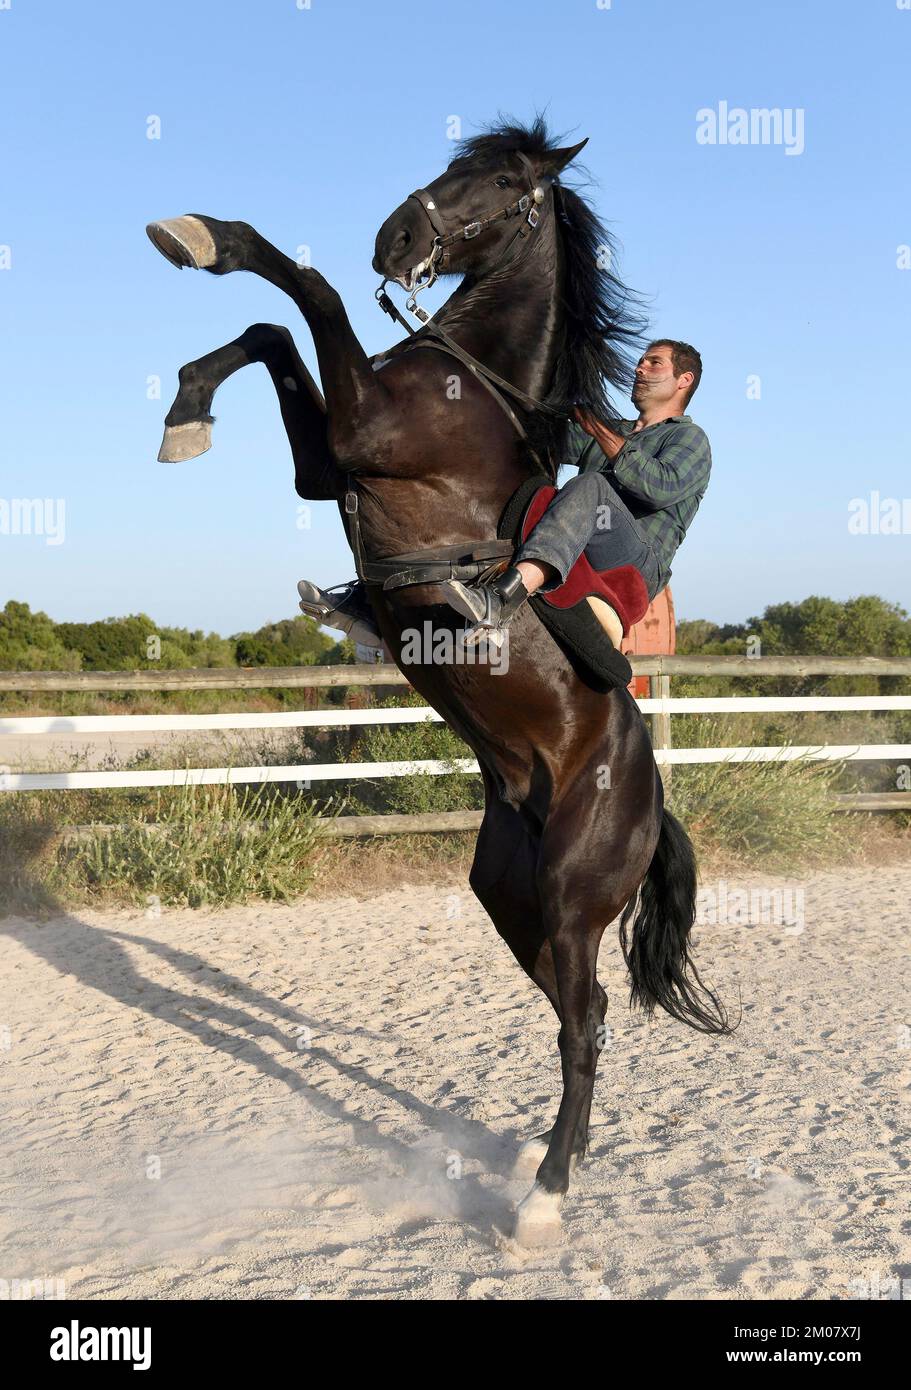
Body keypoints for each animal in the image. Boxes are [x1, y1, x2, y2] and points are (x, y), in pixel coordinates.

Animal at [146, 116, 728, 1247]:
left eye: (500, 181)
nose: (394, 235)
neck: (477, 384)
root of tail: (649, 798)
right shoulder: (326, 464)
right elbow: (271, 332)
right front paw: (185, 403)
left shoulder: (357, 431)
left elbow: (304, 293)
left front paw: (205, 239)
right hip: (512, 894)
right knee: (578, 1011)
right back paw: (548, 1158)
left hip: (572, 893)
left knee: (583, 1023)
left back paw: (545, 1198)